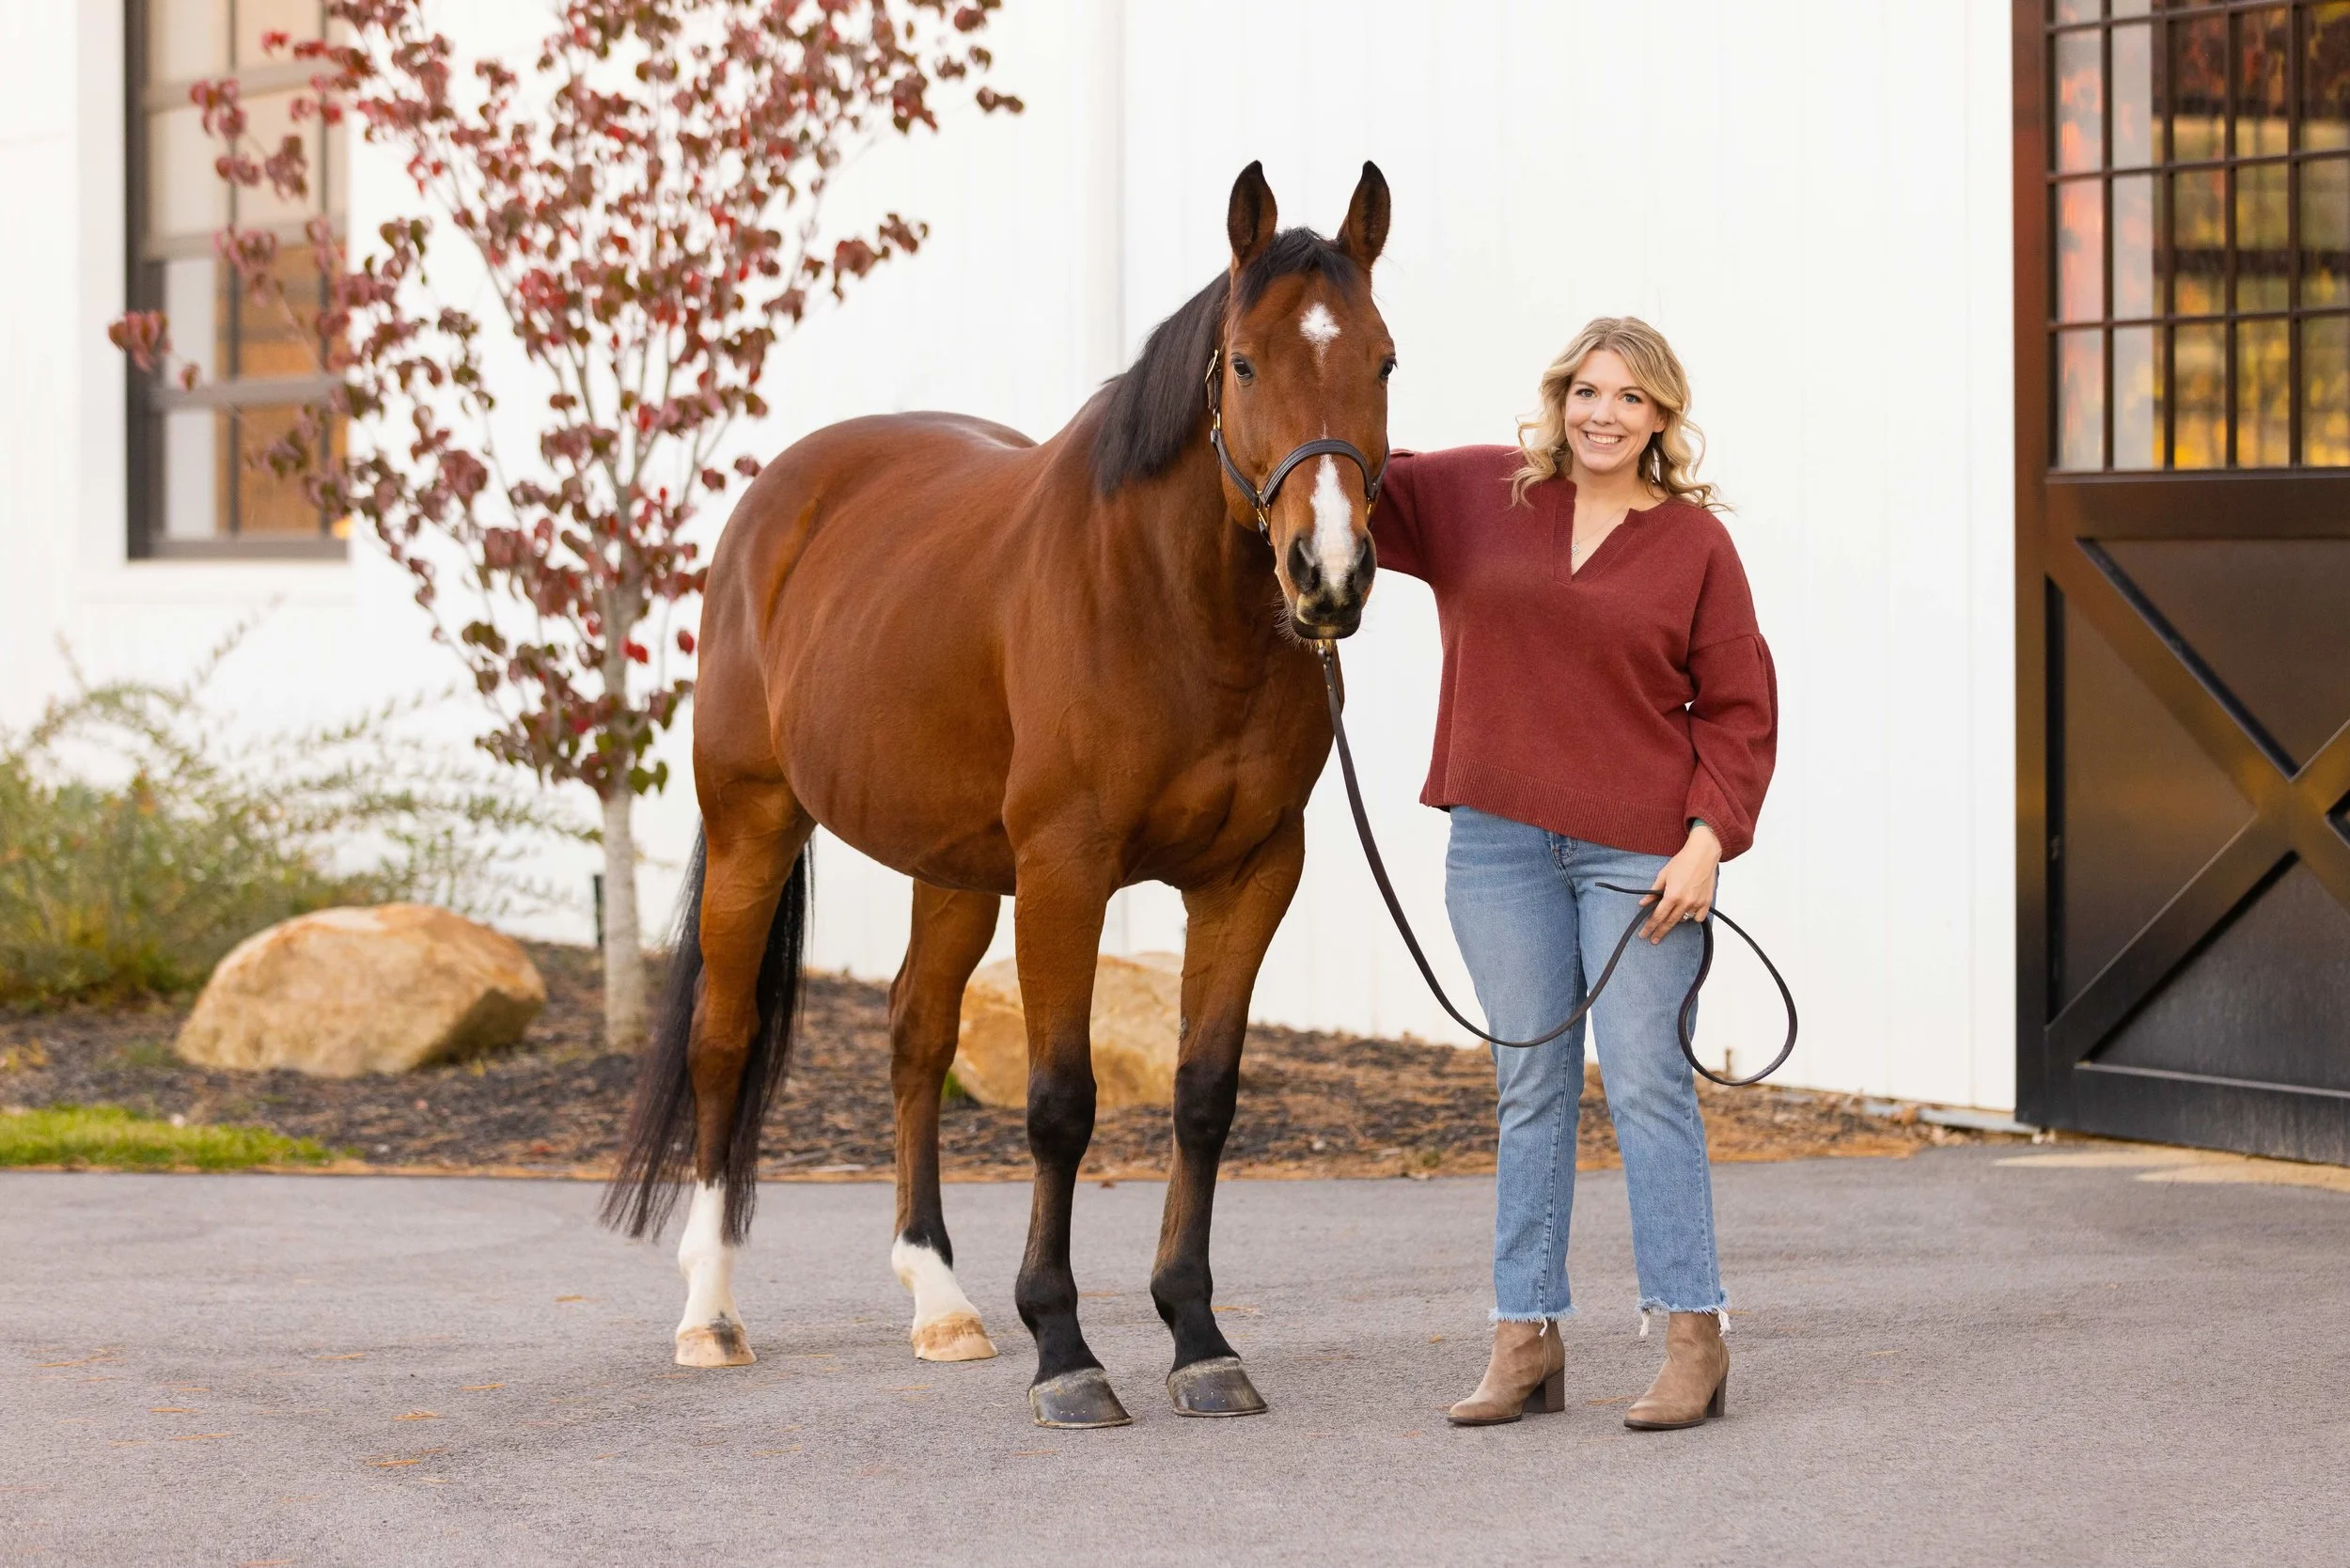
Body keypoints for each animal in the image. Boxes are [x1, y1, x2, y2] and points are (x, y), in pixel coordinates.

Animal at [601, 161, 1395, 1429]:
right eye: (1241, 363)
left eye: (1382, 361)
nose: (1327, 574)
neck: (1169, 607)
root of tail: (778, 499)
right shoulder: (1065, 872)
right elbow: (1060, 1104)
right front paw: (1064, 1351)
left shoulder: (1252, 871)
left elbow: (1203, 1096)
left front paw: (1198, 1338)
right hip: (754, 820)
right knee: (724, 1042)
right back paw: (709, 1315)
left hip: (954, 866)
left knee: (915, 1036)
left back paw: (940, 1301)